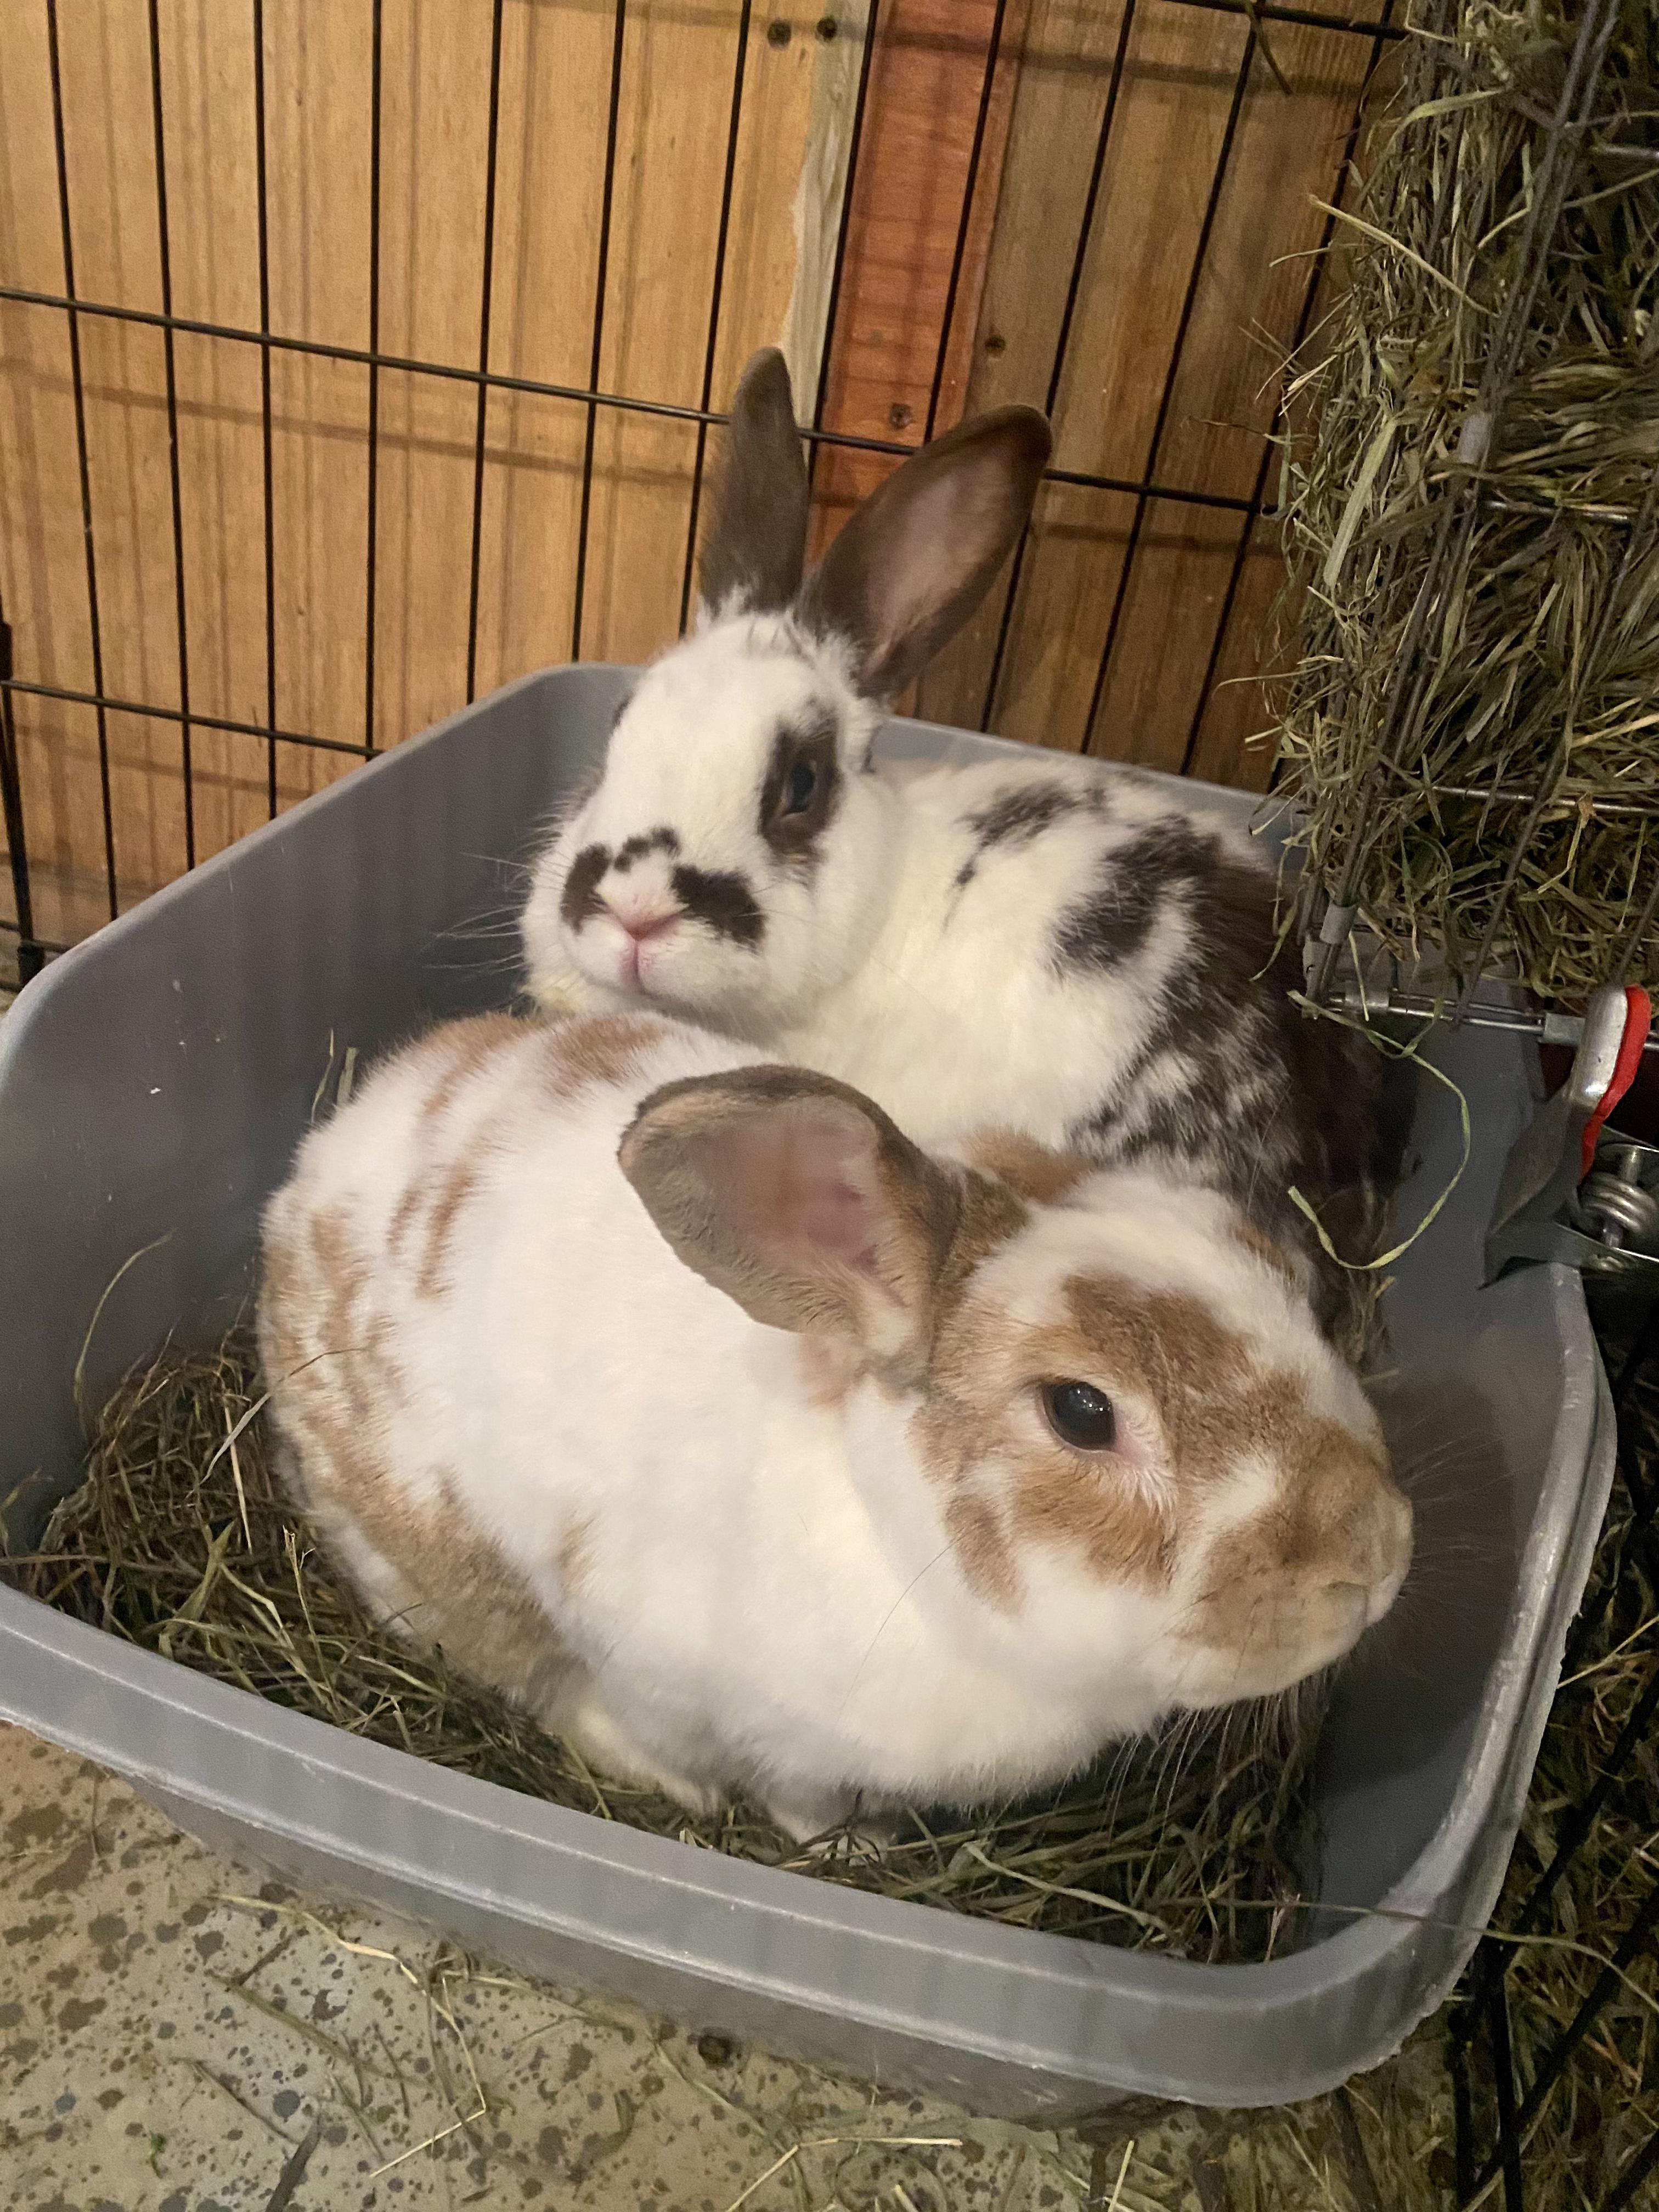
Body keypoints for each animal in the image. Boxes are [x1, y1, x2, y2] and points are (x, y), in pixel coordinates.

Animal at [257, 1005, 1413, 1842]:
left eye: (1261, 1262)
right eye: (1081, 1412)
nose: (1374, 1556)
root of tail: (311, 1169)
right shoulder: (679, 1683)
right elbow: (760, 1785)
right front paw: (837, 1845)